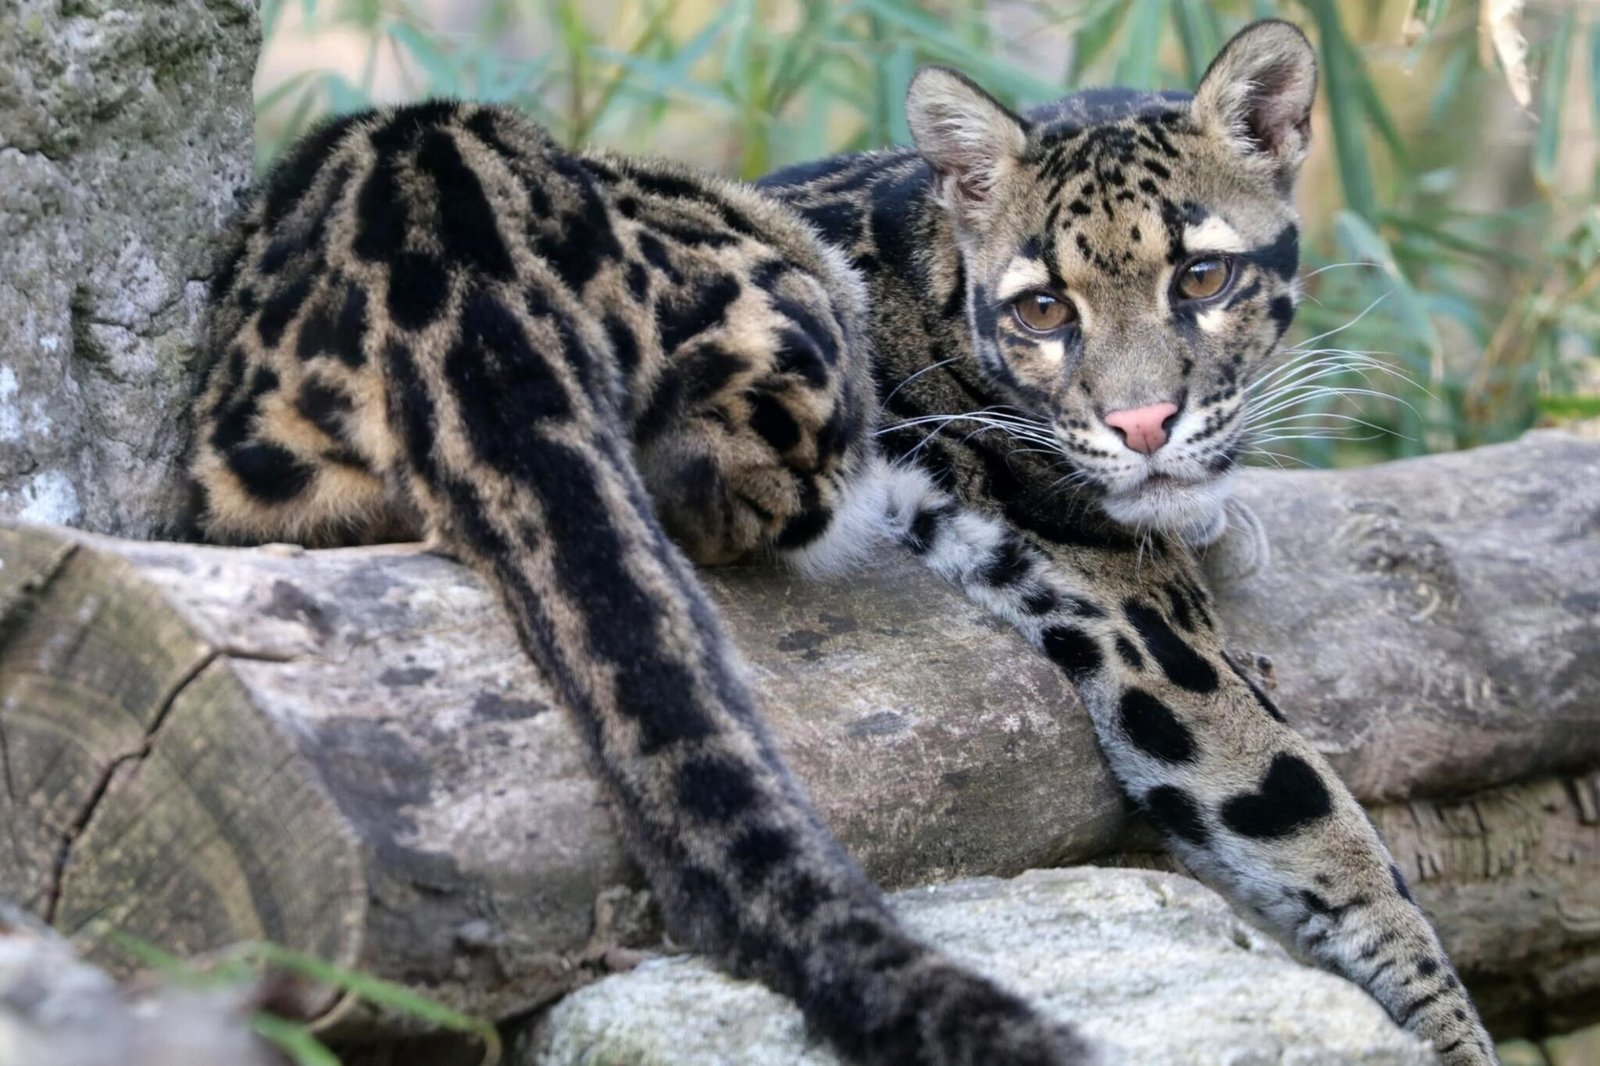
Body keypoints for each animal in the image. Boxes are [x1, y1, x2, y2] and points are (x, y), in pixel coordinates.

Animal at [188, 18, 1495, 1066]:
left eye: (1204, 277)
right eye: (1042, 308)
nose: (1139, 423)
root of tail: (433, 236)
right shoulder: (1153, 633)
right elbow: (1312, 817)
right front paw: (1445, 1027)